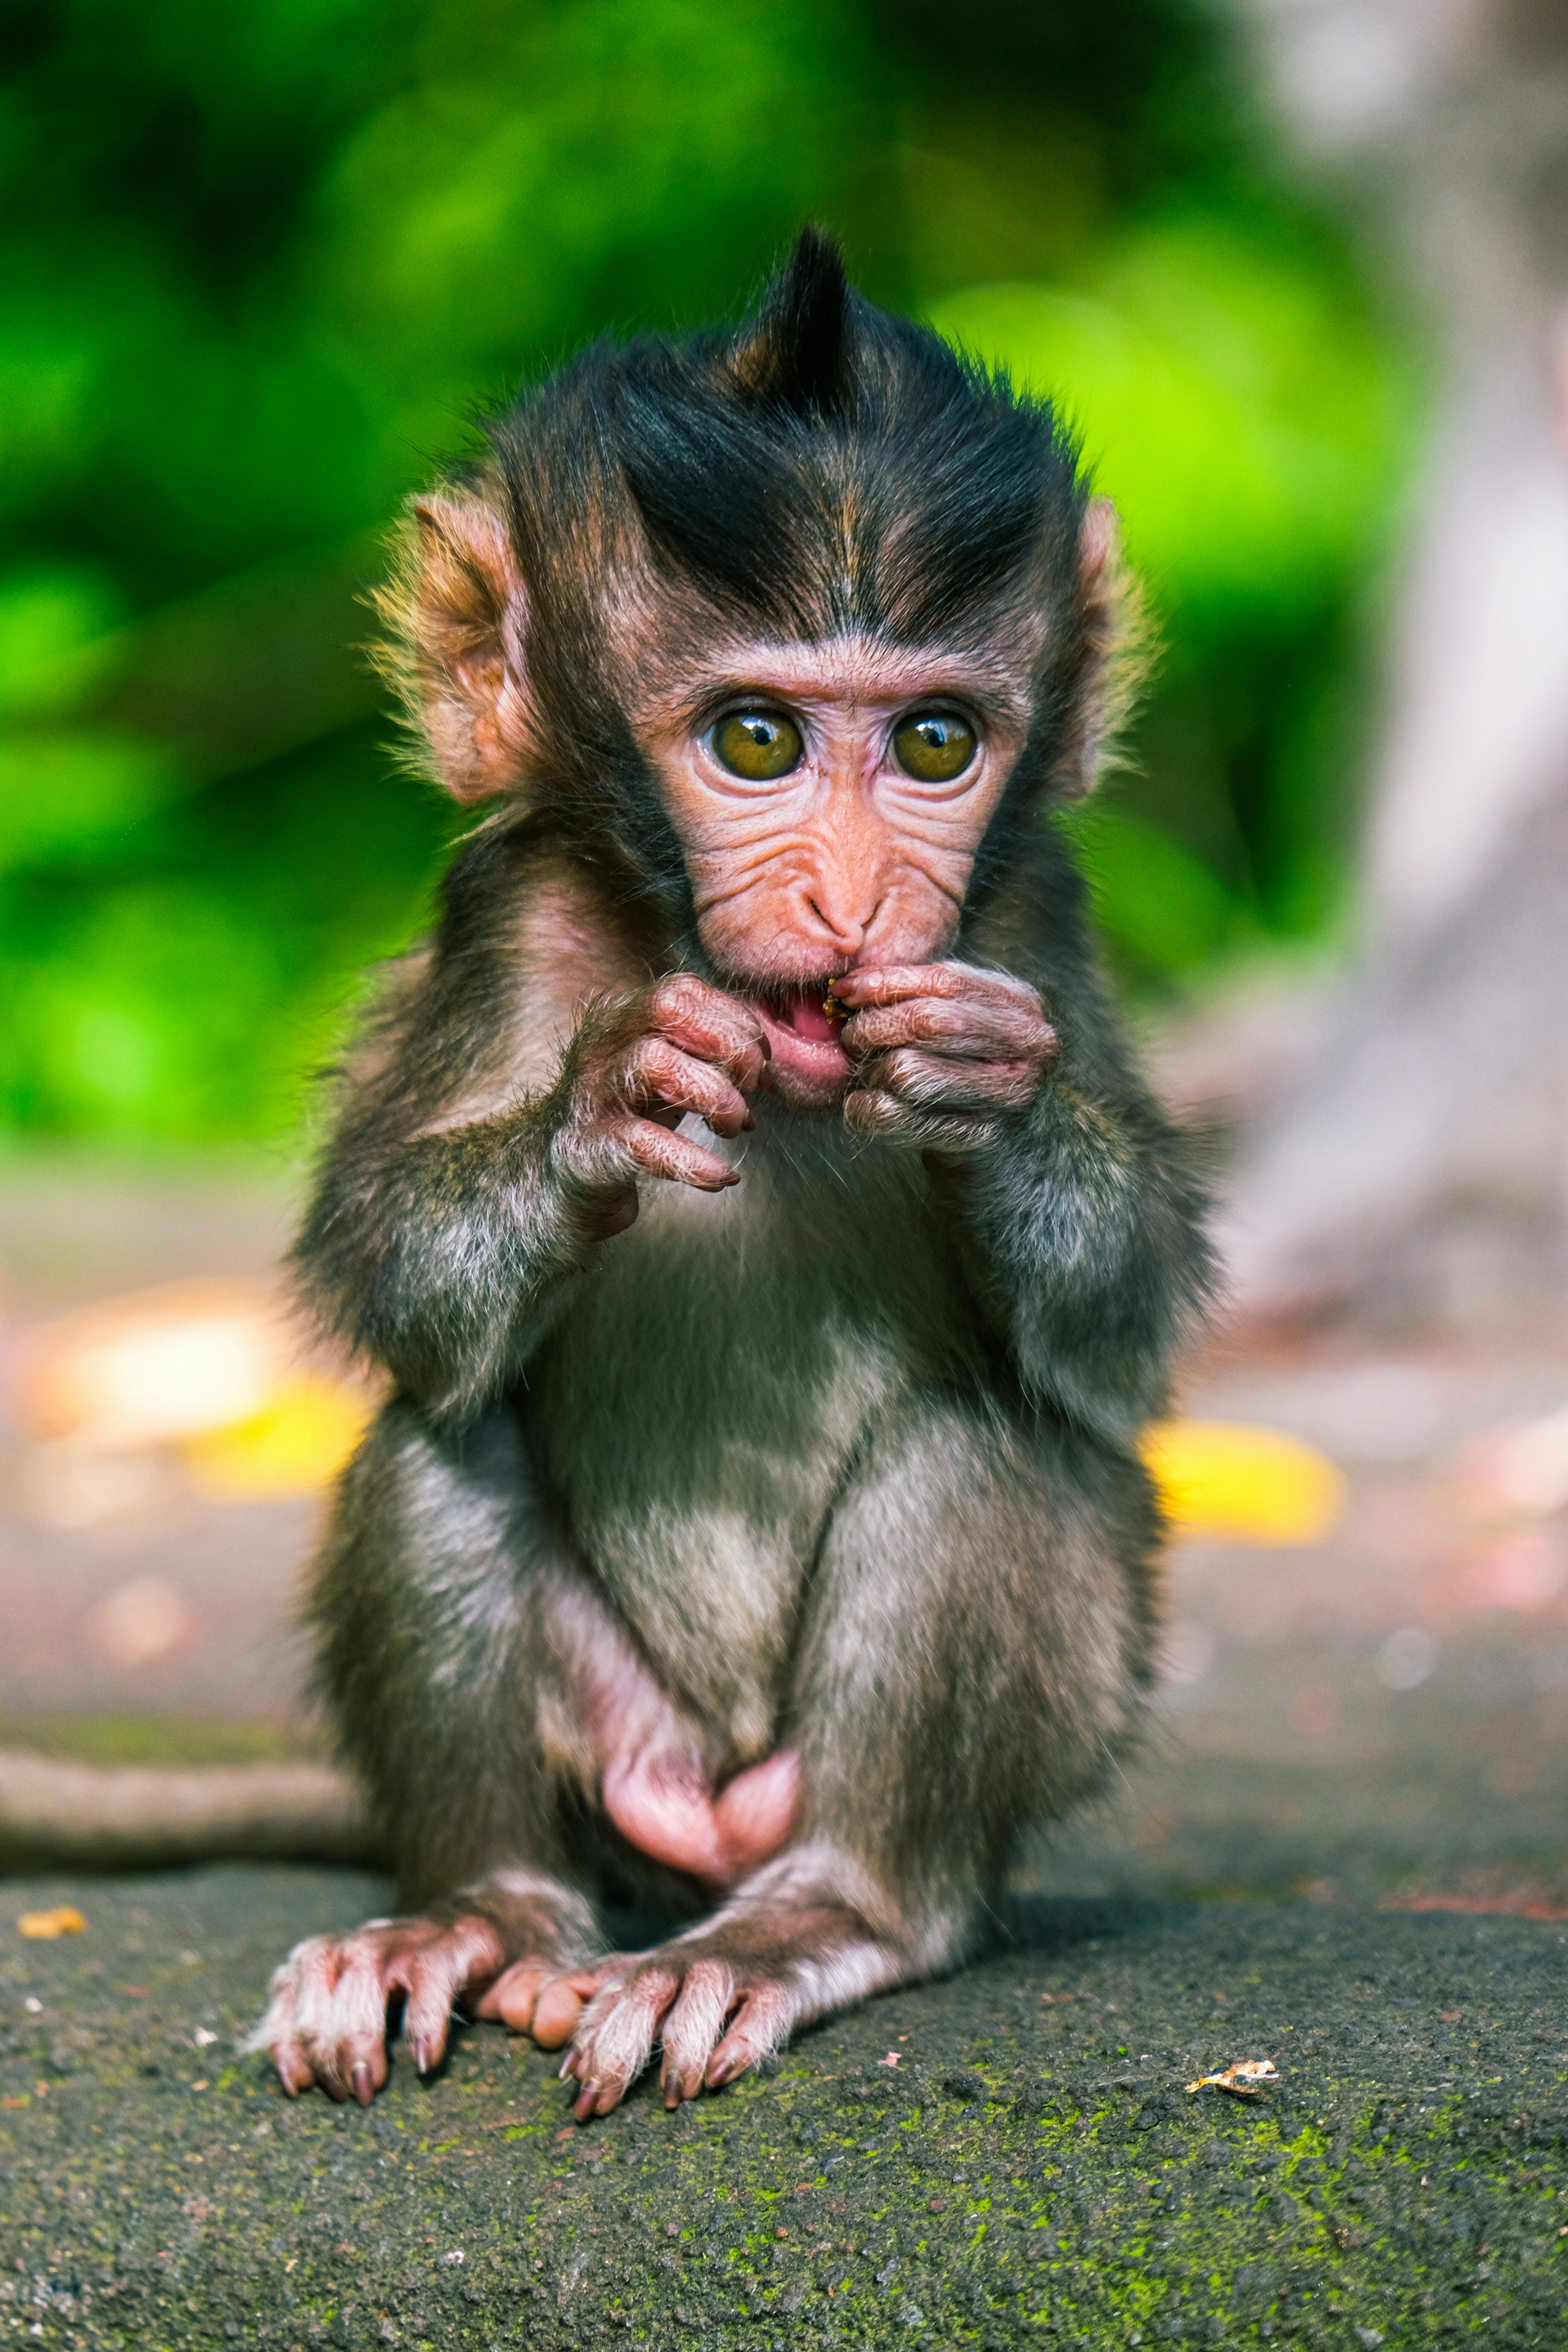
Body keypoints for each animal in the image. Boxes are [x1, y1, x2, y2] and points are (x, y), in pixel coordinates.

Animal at [248, 228, 1210, 2119]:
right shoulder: (503, 906)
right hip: (621, 1751)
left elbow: (1122, 1324)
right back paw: (471, 1910)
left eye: (934, 745)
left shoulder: (1033, 910)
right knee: (437, 1443)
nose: (850, 903)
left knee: (979, 1451)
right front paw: (607, 1103)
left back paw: (819, 1913)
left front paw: (984, 1098)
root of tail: (708, 1824)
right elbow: (384, 1261)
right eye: (755, 742)